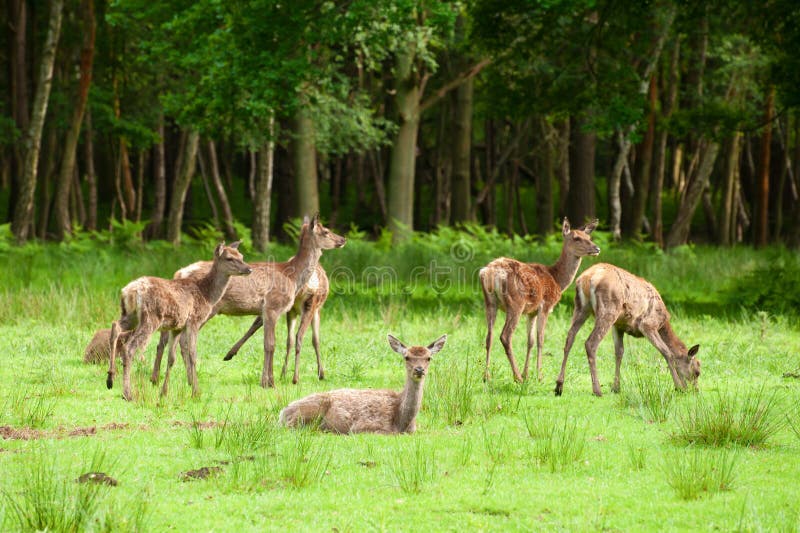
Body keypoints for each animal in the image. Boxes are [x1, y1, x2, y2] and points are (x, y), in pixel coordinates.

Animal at [106, 242, 252, 401]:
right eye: (229, 258)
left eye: (241, 256)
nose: (248, 269)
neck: (206, 294)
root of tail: (130, 291)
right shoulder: (194, 321)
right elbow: (192, 354)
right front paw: (196, 392)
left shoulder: (177, 327)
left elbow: (171, 358)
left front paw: (164, 392)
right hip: (150, 318)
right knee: (129, 348)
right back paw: (127, 393)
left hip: (130, 315)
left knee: (115, 327)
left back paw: (110, 379)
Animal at [150, 215, 345, 389]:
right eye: (326, 231)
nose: (342, 239)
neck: (292, 276)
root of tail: (179, 273)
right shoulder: (272, 306)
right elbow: (270, 344)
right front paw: (269, 382)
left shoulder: (270, 311)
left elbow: (270, 343)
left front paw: (268, 380)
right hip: (205, 310)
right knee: (180, 341)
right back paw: (185, 380)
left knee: (167, 340)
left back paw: (165, 379)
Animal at [279, 334, 446, 434]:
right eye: (407, 357)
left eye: (428, 358)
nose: (419, 369)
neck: (402, 421)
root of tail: (282, 412)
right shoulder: (365, 426)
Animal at [480, 218, 600, 383]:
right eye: (576, 238)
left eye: (589, 237)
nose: (597, 248)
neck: (557, 280)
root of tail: (489, 272)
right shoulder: (546, 306)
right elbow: (540, 339)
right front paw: (539, 375)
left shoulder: (531, 312)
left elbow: (530, 341)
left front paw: (527, 374)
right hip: (515, 303)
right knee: (505, 336)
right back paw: (517, 377)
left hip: (490, 301)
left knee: (489, 336)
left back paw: (487, 376)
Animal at [554, 263, 701, 397]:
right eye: (697, 372)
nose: (696, 391)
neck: (663, 324)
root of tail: (586, 278)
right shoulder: (648, 325)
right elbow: (667, 352)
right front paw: (679, 387)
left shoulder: (618, 326)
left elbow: (619, 352)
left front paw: (616, 387)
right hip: (608, 310)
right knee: (590, 343)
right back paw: (597, 390)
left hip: (581, 307)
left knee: (570, 337)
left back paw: (559, 386)